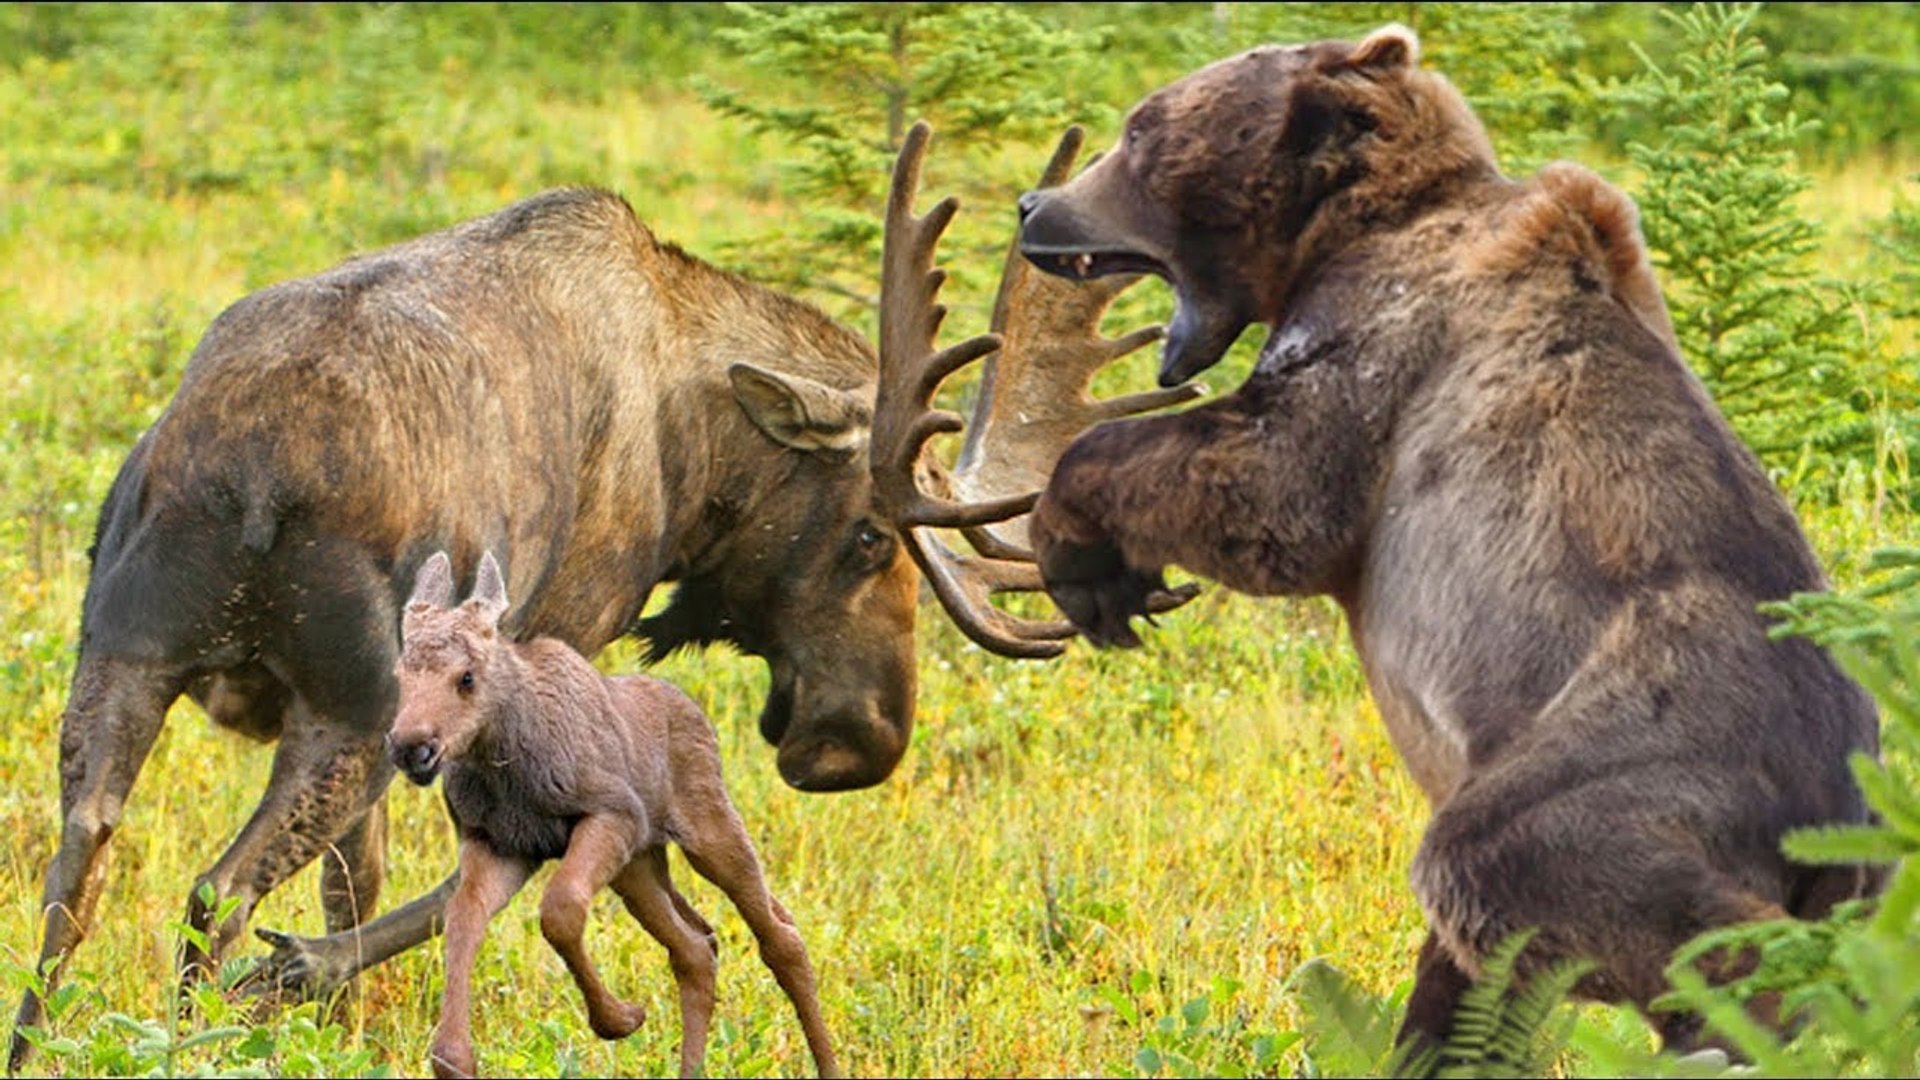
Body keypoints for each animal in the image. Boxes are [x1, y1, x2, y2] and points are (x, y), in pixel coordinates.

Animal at [1016, 23, 1882, 1066]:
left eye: (1141, 129)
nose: (1033, 205)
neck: (1345, 226)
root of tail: (1837, 811)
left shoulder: (1385, 340)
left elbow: (1277, 490)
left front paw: (1085, 562)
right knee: (1482, 954)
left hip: (1636, 731)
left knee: (1508, 860)